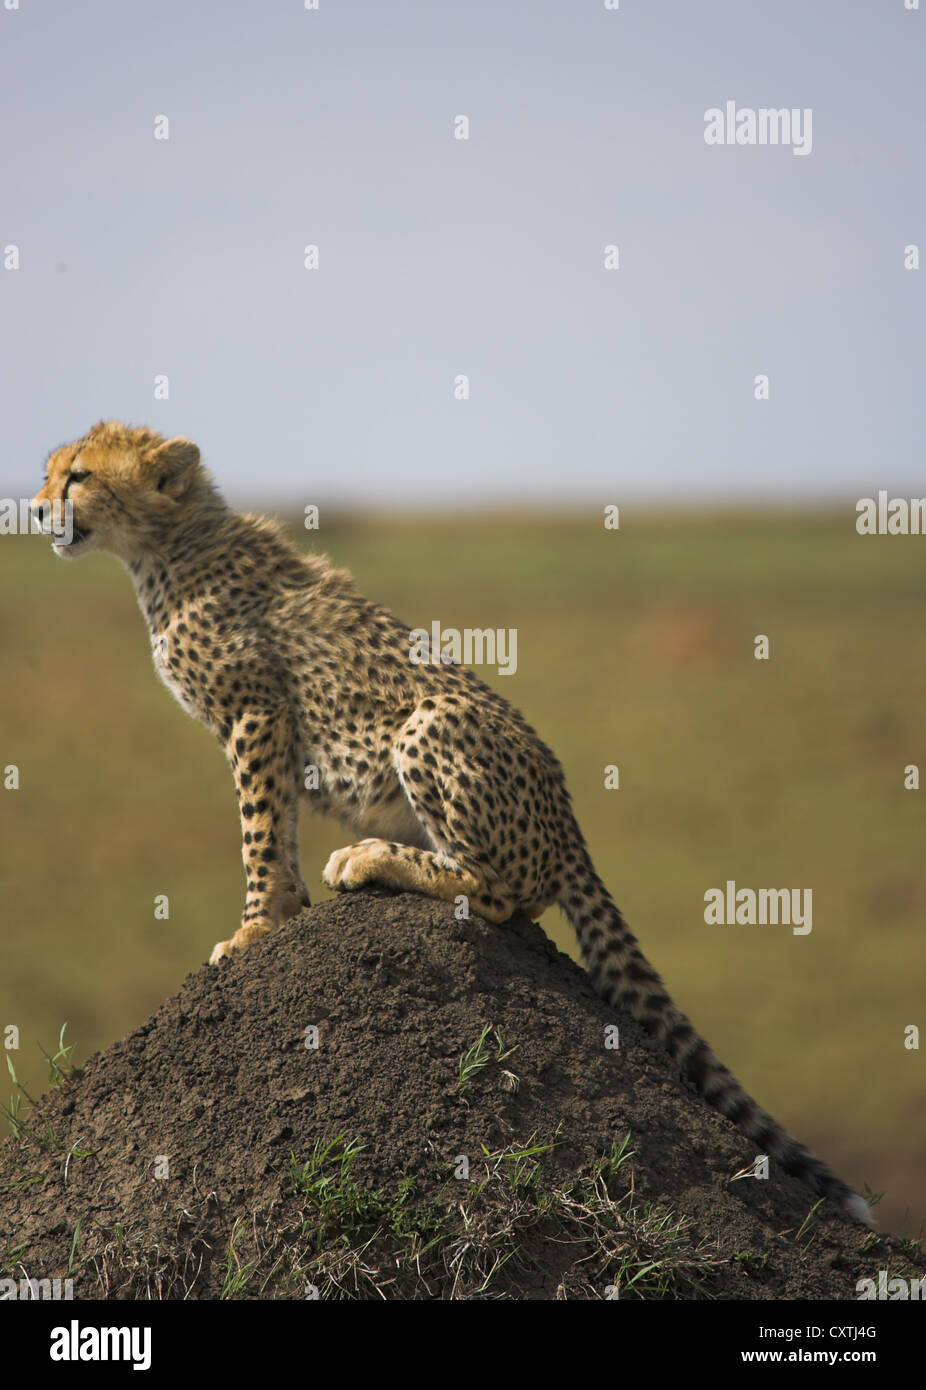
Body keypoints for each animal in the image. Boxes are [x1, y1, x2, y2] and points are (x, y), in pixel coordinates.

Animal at [31, 419, 872, 1224]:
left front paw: (257, 926)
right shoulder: (259, 725)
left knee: (501, 895)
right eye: (50, 471)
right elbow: (276, 830)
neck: (167, 548)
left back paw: (375, 857)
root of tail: (568, 816)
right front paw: (282, 913)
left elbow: (261, 831)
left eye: (80, 475)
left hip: (431, 722)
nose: (36, 509)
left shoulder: (258, 714)